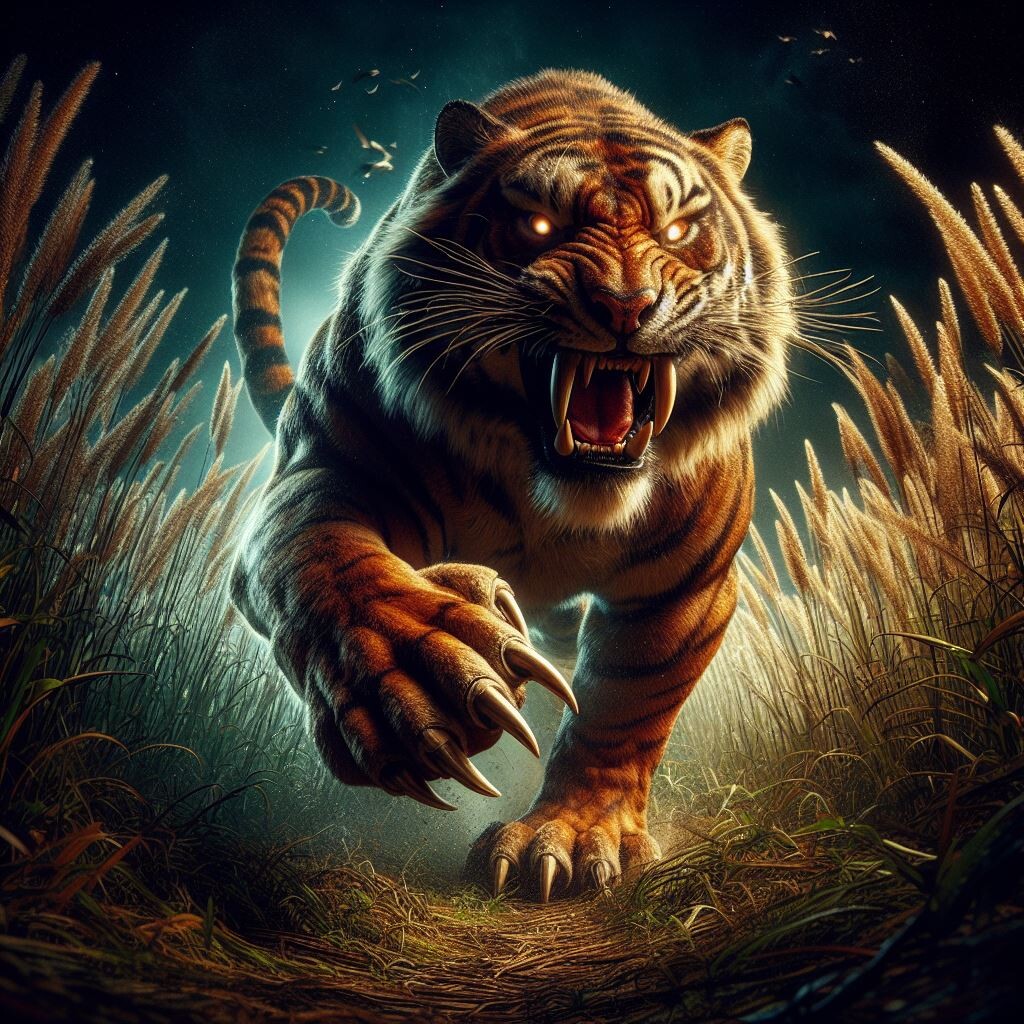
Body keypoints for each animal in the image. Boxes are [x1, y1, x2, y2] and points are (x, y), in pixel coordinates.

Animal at [230, 68, 795, 902]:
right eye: (536, 225)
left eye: (678, 232)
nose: (627, 305)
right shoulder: (321, 468)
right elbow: (328, 567)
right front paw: (415, 676)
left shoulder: (687, 586)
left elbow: (622, 702)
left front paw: (571, 837)